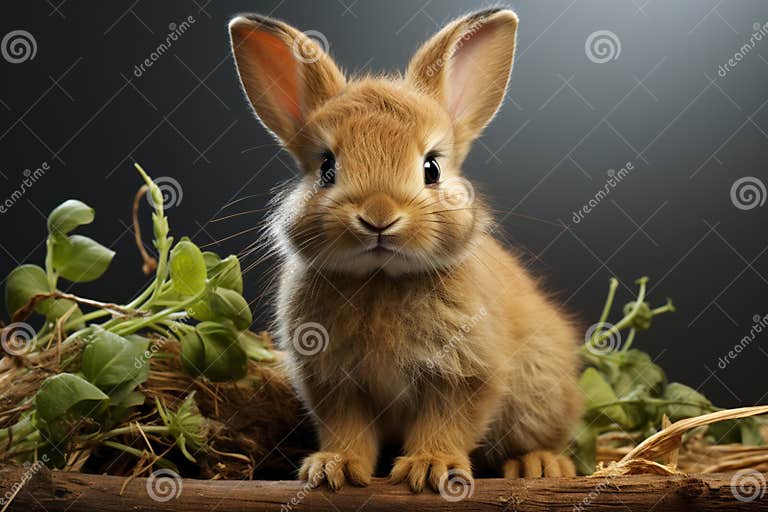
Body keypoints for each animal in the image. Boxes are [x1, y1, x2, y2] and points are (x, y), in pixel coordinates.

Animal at [228, 7, 583, 492]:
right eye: (326, 168)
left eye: (431, 168)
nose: (378, 216)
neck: (382, 279)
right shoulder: (333, 383)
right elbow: (347, 429)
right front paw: (334, 468)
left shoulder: (464, 375)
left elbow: (445, 423)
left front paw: (432, 468)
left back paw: (540, 465)